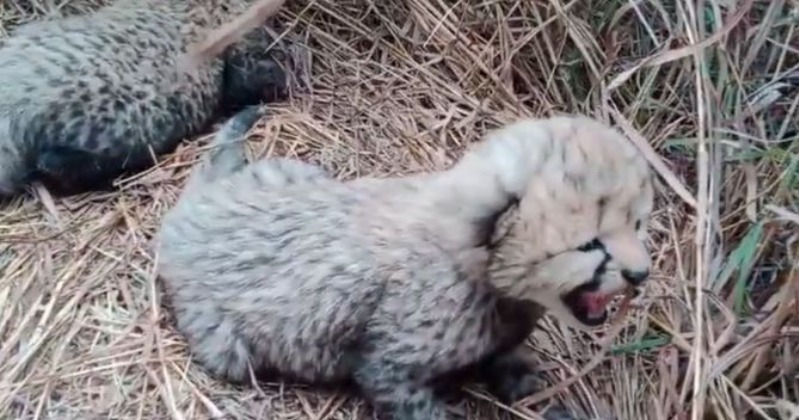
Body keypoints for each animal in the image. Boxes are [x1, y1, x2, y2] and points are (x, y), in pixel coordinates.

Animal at [154, 109, 654, 420]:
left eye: (637, 223)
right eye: (590, 245)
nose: (641, 275)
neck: (478, 270)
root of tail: (198, 203)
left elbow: (519, 372)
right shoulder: (387, 367)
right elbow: (421, 405)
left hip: (299, 171)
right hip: (228, 350)